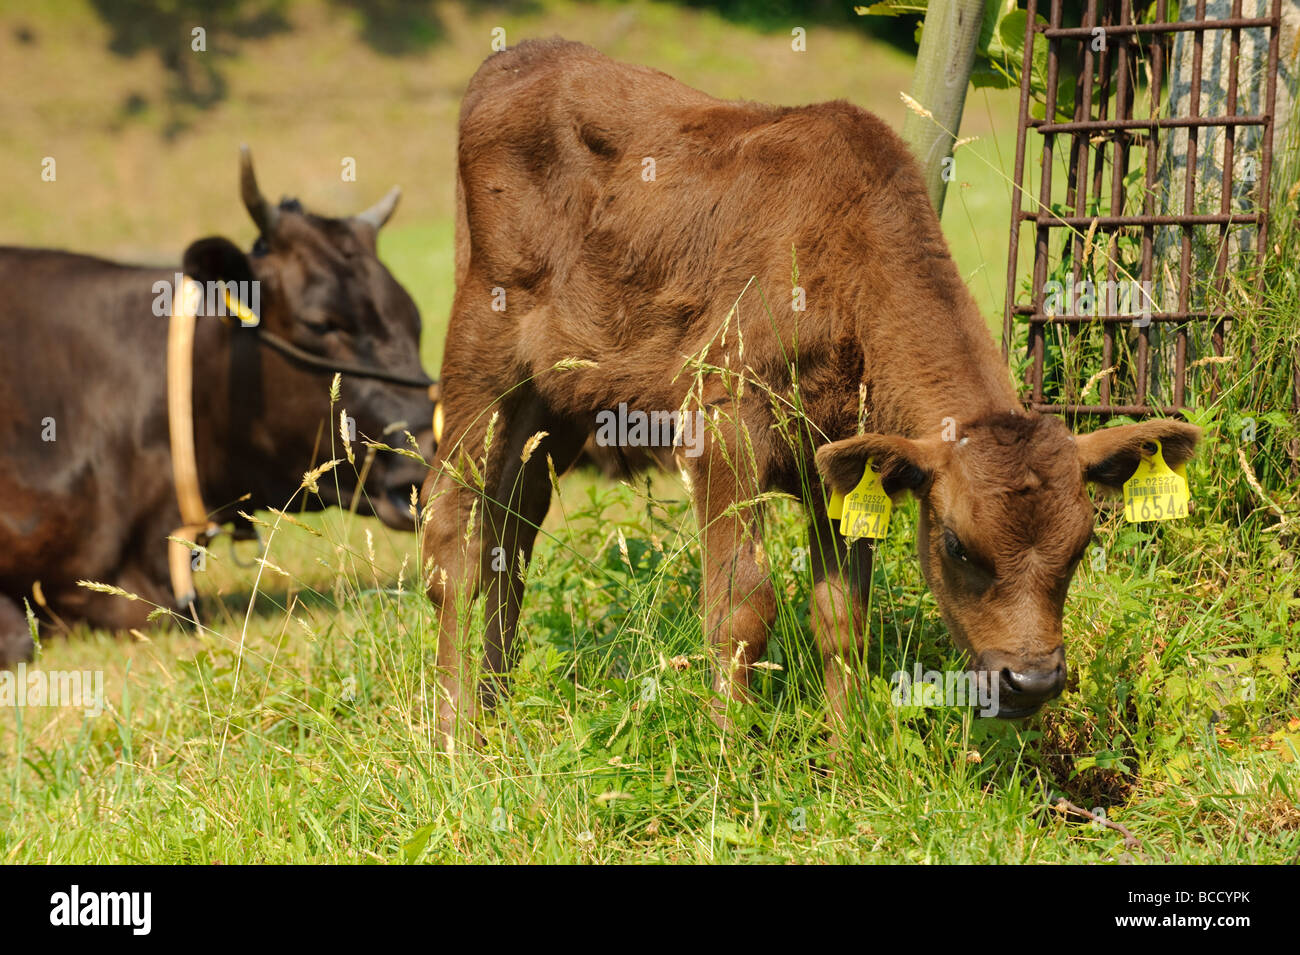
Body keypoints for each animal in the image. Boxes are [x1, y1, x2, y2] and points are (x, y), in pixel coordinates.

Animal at [421, 39, 1200, 744]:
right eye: (957, 545)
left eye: (1080, 546)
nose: (1032, 680)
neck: (845, 262)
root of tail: (518, 55)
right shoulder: (721, 423)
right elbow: (742, 606)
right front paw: (728, 750)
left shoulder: (844, 459)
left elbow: (842, 616)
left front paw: (847, 751)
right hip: (480, 347)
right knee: (454, 534)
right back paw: (456, 733)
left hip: (554, 400)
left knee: (513, 525)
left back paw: (497, 708)